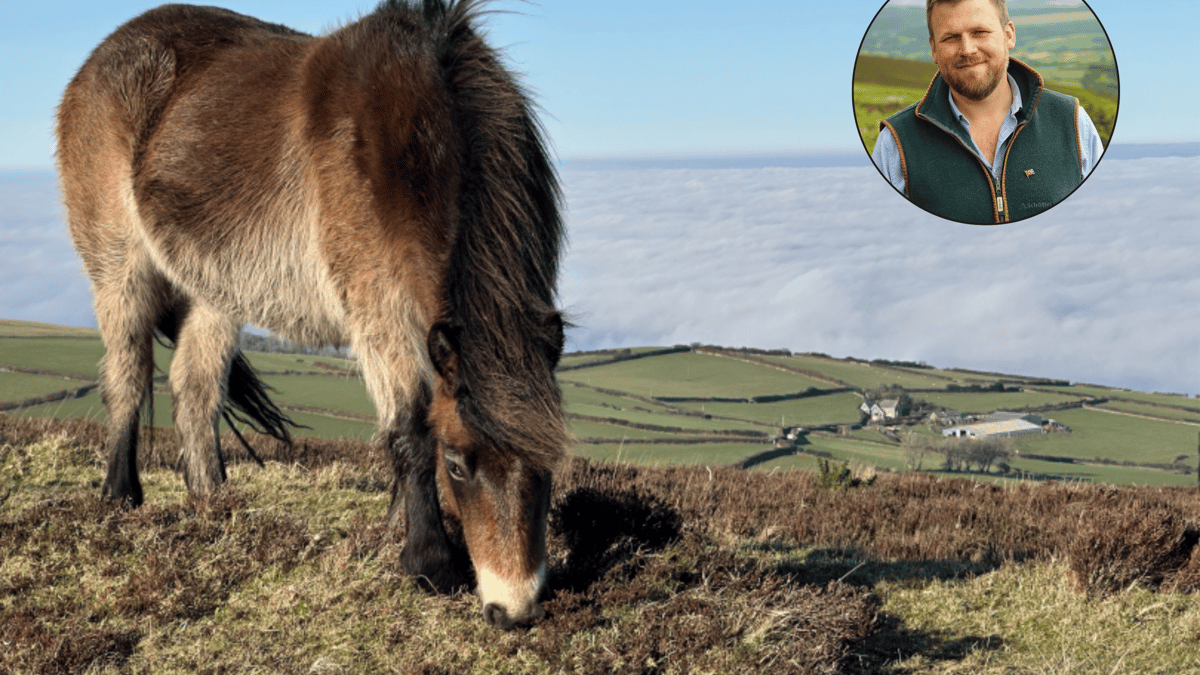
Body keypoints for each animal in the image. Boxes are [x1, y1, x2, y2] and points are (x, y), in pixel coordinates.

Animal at [56, 0, 567, 629]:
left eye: (549, 467)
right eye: (456, 464)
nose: (513, 609)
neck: (415, 138)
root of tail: (98, 63)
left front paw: (394, 534)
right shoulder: (380, 312)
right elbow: (410, 427)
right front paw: (429, 563)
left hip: (213, 291)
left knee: (194, 388)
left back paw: (215, 506)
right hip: (119, 269)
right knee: (127, 376)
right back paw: (120, 498)